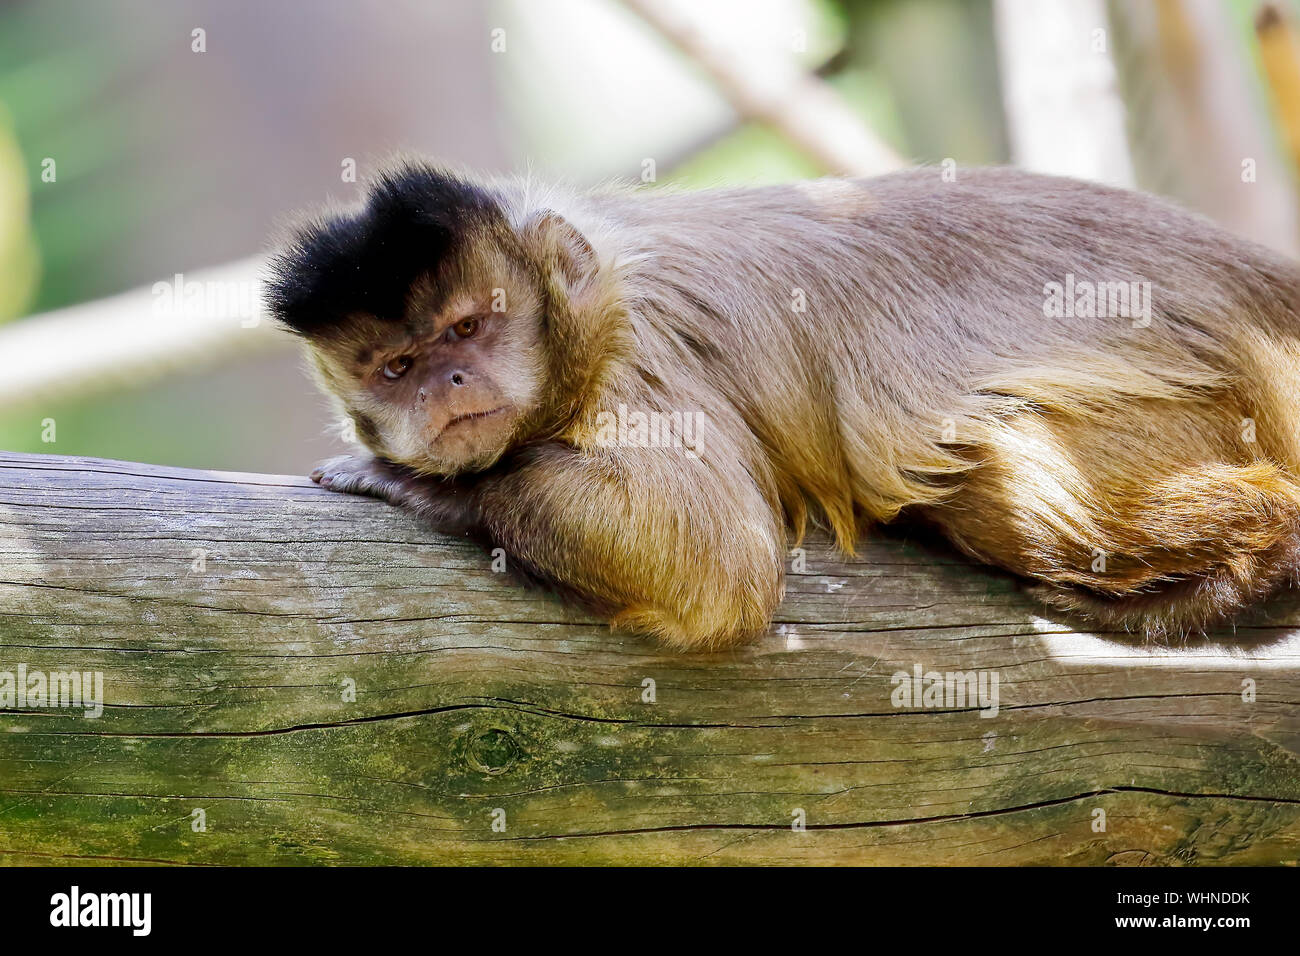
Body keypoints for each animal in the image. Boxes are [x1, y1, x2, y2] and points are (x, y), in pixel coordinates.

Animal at [265, 161, 1300, 649]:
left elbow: (711, 563)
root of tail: (1257, 284)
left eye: (473, 327)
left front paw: (424, 491)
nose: (447, 382)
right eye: (398, 365)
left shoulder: (640, 358)